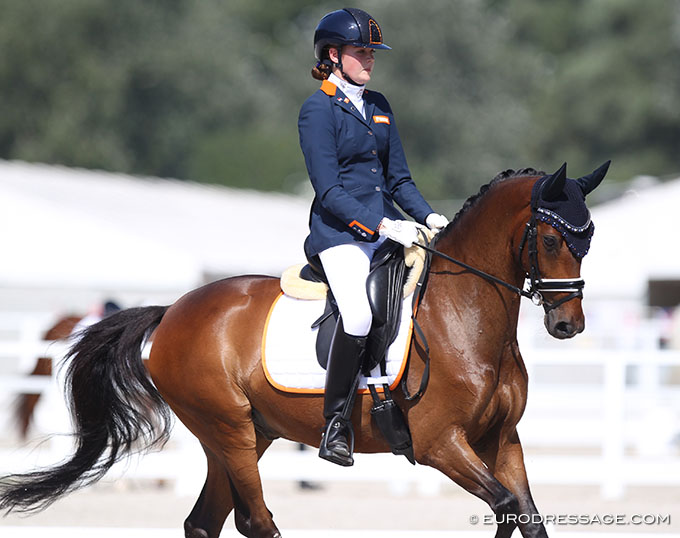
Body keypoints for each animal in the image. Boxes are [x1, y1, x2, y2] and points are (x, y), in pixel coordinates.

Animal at [0, 162, 609, 538]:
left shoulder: (501, 440)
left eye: (589, 239)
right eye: (550, 238)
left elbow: (527, 516)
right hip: (229, 430)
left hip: (246, 435)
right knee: (256, 521)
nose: (567, 324)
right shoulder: (441, 445)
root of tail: (172, 312)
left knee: (204, 522)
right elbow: (504, 507)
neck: (466, 317)